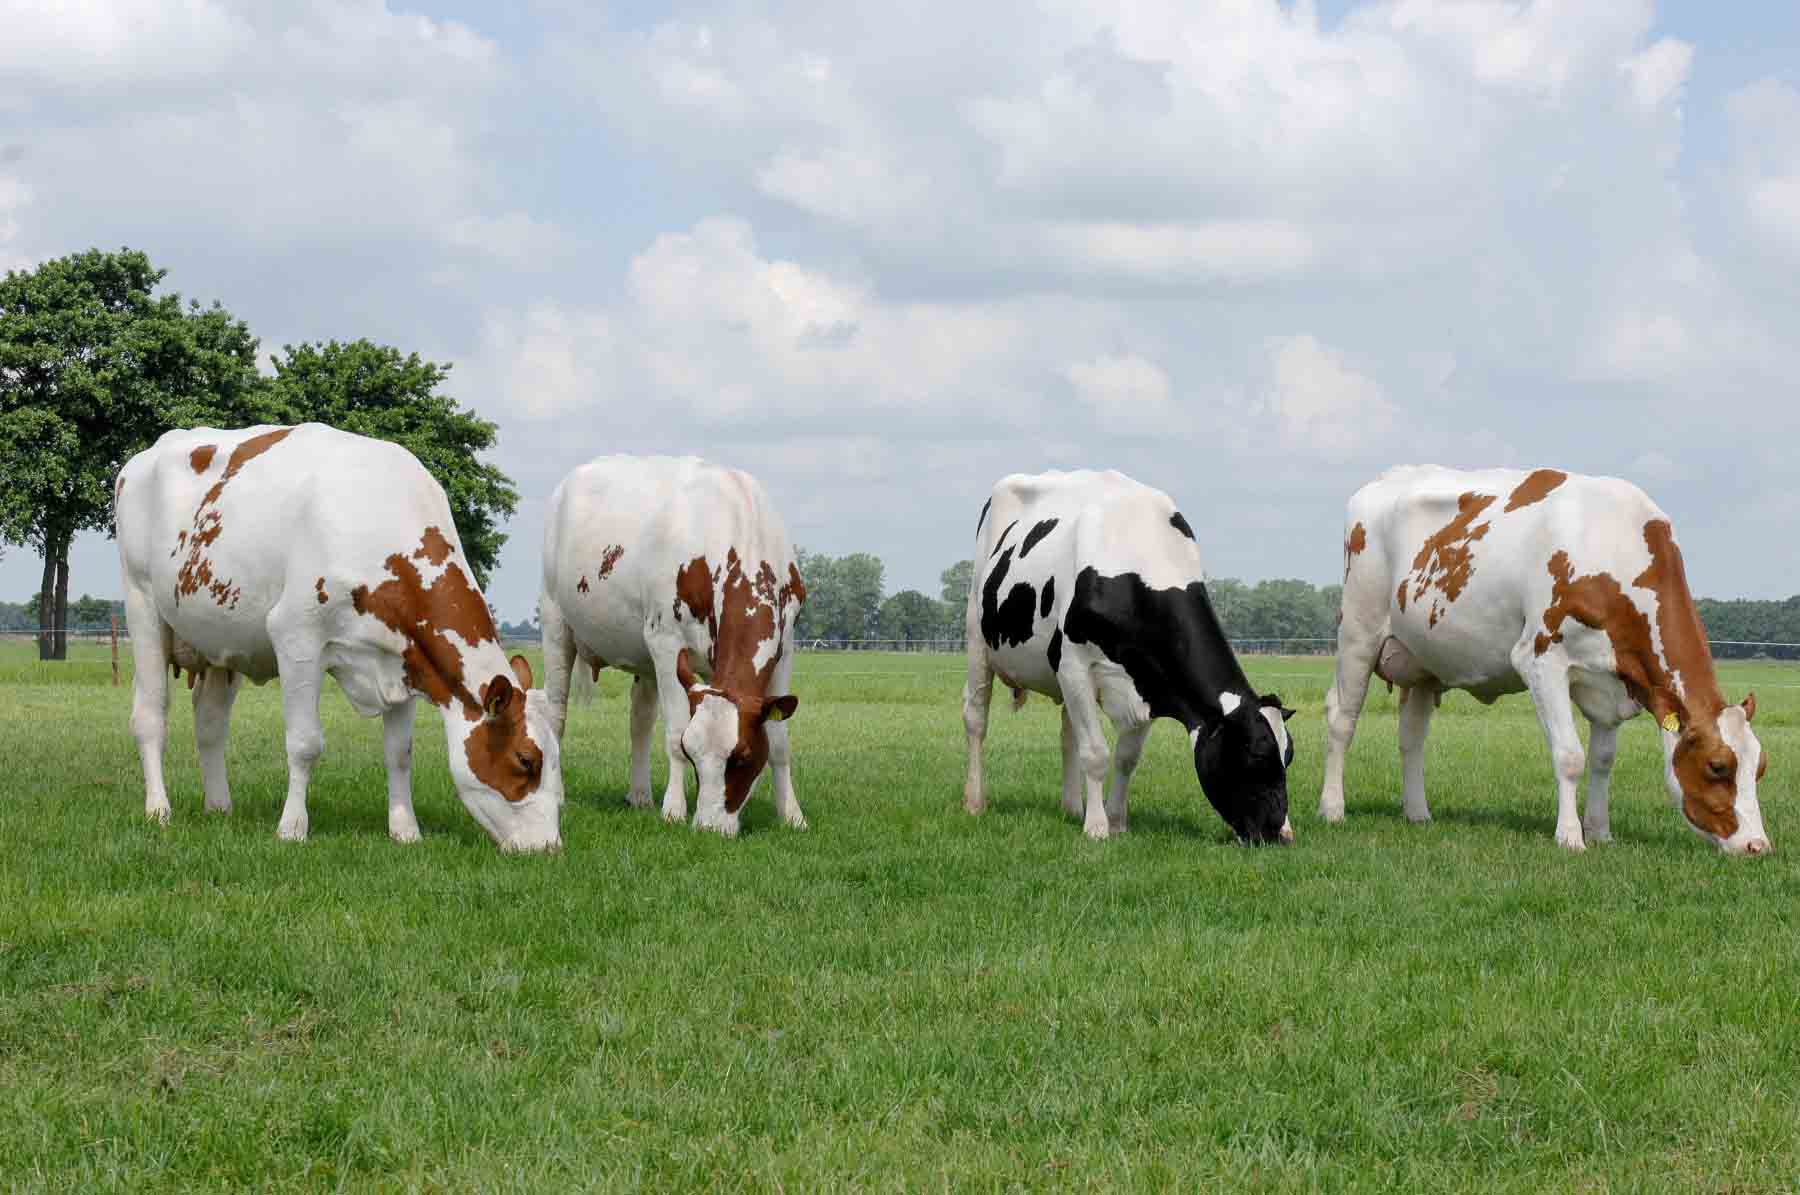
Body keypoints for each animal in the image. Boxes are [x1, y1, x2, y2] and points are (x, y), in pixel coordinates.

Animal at [115, 424, 563, 851]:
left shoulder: (404, 658)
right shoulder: (297, 636)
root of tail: (148, 453)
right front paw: (292, 828)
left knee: (209, 722)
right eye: (526, 760)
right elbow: (305, 743)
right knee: (150, 717)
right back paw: (158, 809)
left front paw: (405, 830)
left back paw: (219, 806)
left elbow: (400, 753)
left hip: (219, 638)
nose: (548, 847)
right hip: (142, 604)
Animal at [539, 456, 805, 838]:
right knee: (556, 714)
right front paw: (675, 811)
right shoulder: (665, 642)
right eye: (692, 754)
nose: (708, 828)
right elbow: (675, 732)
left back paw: (640, 795)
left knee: (640, 719)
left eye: (741, 757)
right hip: (555, 622)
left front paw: (792, 815)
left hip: (643, 656)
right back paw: (558, 794)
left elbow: (780, 740)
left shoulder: (785, 646)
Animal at [961, 470, 1295, 843]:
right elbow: (1096, 753)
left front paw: (1117, 820)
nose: (1281, 833)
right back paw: (975, 801)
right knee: (976, 719)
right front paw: (1097, 828)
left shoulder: (1150, 678)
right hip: (977, 638)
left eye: (1289, 756)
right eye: (1255, 755)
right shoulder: (1074, 667)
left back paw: (1071, 807)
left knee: (1068, 735)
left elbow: (1126, 757)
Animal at [1320, 465, 1770, 855]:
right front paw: (1570, 837)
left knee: (1412, 737)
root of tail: (1385, 478)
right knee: (1342, 719)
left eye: (1760, 768)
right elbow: (1570, 756)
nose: (1757, 846)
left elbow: (1603, 761)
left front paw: (1600, 832)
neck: (1612, 543)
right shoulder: (1540, 659)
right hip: (1359, 632)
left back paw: (1417, 813)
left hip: (1423, 659)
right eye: (1717, 766)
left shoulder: (1611, 682)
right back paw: (1332, 809)